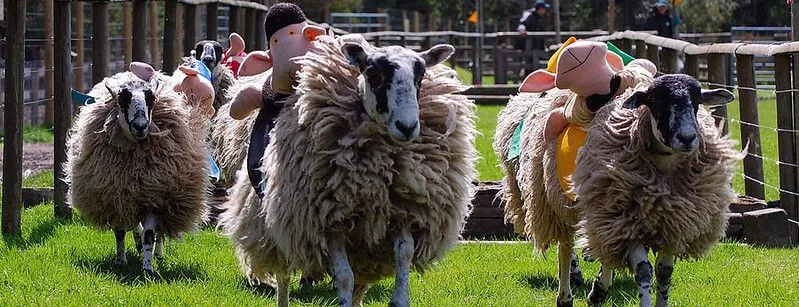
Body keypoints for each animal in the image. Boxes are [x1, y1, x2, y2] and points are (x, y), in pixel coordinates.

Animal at [65, 63, 211, 278]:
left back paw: (157, 254)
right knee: (134, 225)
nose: (140, 126)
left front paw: (148, 269)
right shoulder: (116, 197)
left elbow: (150, 234)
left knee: (158, 232)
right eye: (123, 98)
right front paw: (120, 261)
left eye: (151, 98)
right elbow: (120, 232)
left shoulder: (154, 196)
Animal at [219, 34, 476, 307]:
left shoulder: (402, 213)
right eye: (373, 72)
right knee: (284, 275)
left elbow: (403, 256)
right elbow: (344, 277)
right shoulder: (329, 221)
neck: (379, 169)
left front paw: (399, 299)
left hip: (364, 249)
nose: (407, 127)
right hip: (277, 223)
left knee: (360, 284)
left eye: (421, 74)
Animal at [494, 51, 656, 306]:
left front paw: (599, 289)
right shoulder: (558, 204)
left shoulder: (615, 210)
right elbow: (566, 247)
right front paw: (566, 296)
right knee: (566, 242)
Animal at [572, 73, 740, 306]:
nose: (687, 138)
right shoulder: (629, 224)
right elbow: (643, 271)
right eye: (656, 101)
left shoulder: (674, 225)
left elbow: (664, 272)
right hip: (608, 214)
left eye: (697, 101)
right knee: (608, 252)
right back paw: (598, 292)